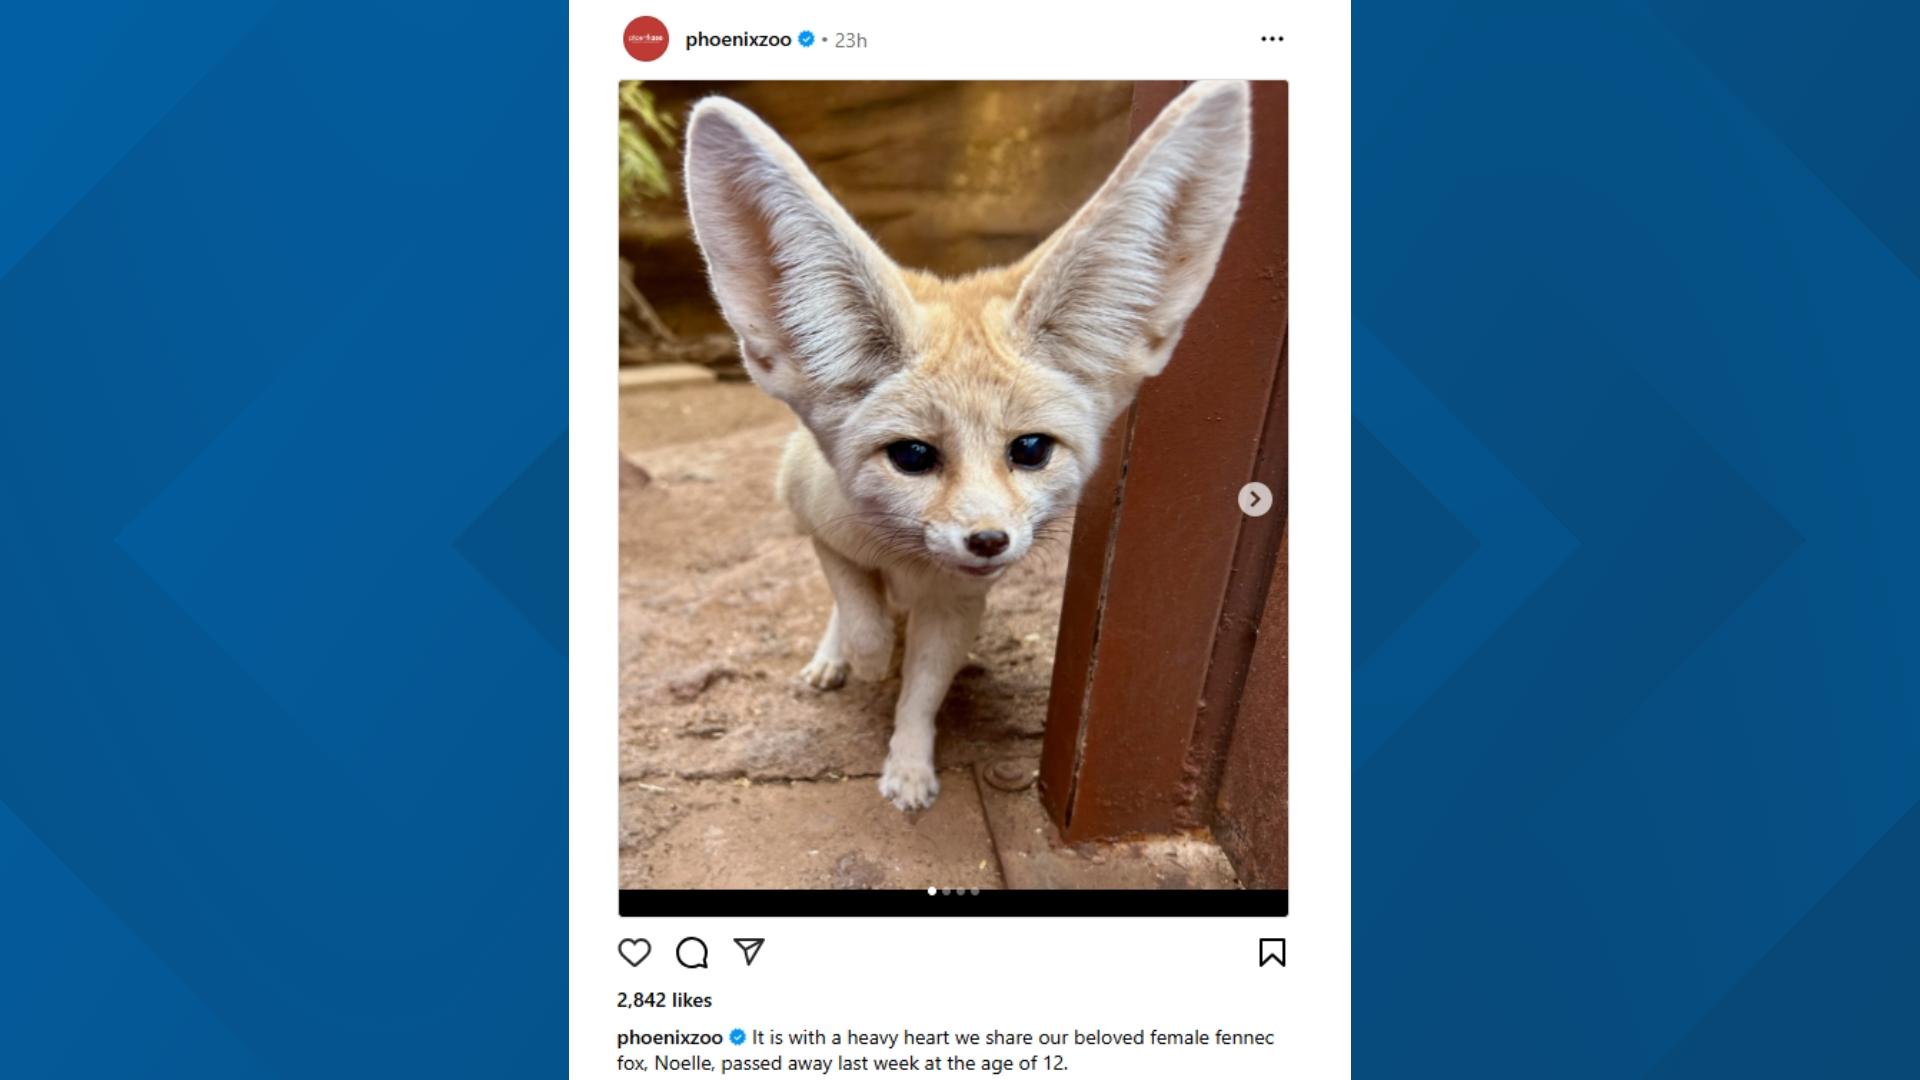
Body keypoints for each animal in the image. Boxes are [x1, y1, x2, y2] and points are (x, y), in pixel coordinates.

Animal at [682, 81, 1253, 811]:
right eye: (913, 457)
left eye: (1031, 449)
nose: (987, 541)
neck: (905, 563)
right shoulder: (819, 527)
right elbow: (863, 622)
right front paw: (865, 658)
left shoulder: (957, 604)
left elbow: (923, 693)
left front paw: (908, 764)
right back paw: (835, 657)